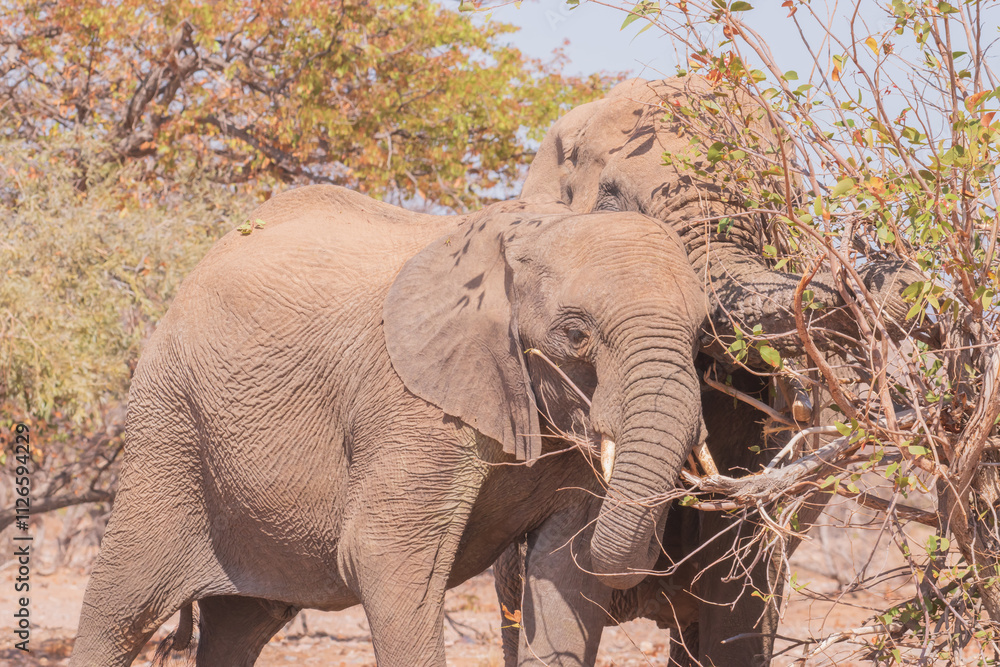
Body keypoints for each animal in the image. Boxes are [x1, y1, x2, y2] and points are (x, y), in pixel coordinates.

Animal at [69, 183, 711, 667]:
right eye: (575, 334)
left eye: (702, 335)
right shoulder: (409, 400)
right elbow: (387, 557)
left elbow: (567, 570)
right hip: (169, 422)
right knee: (121, 608)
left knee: (239, 624)